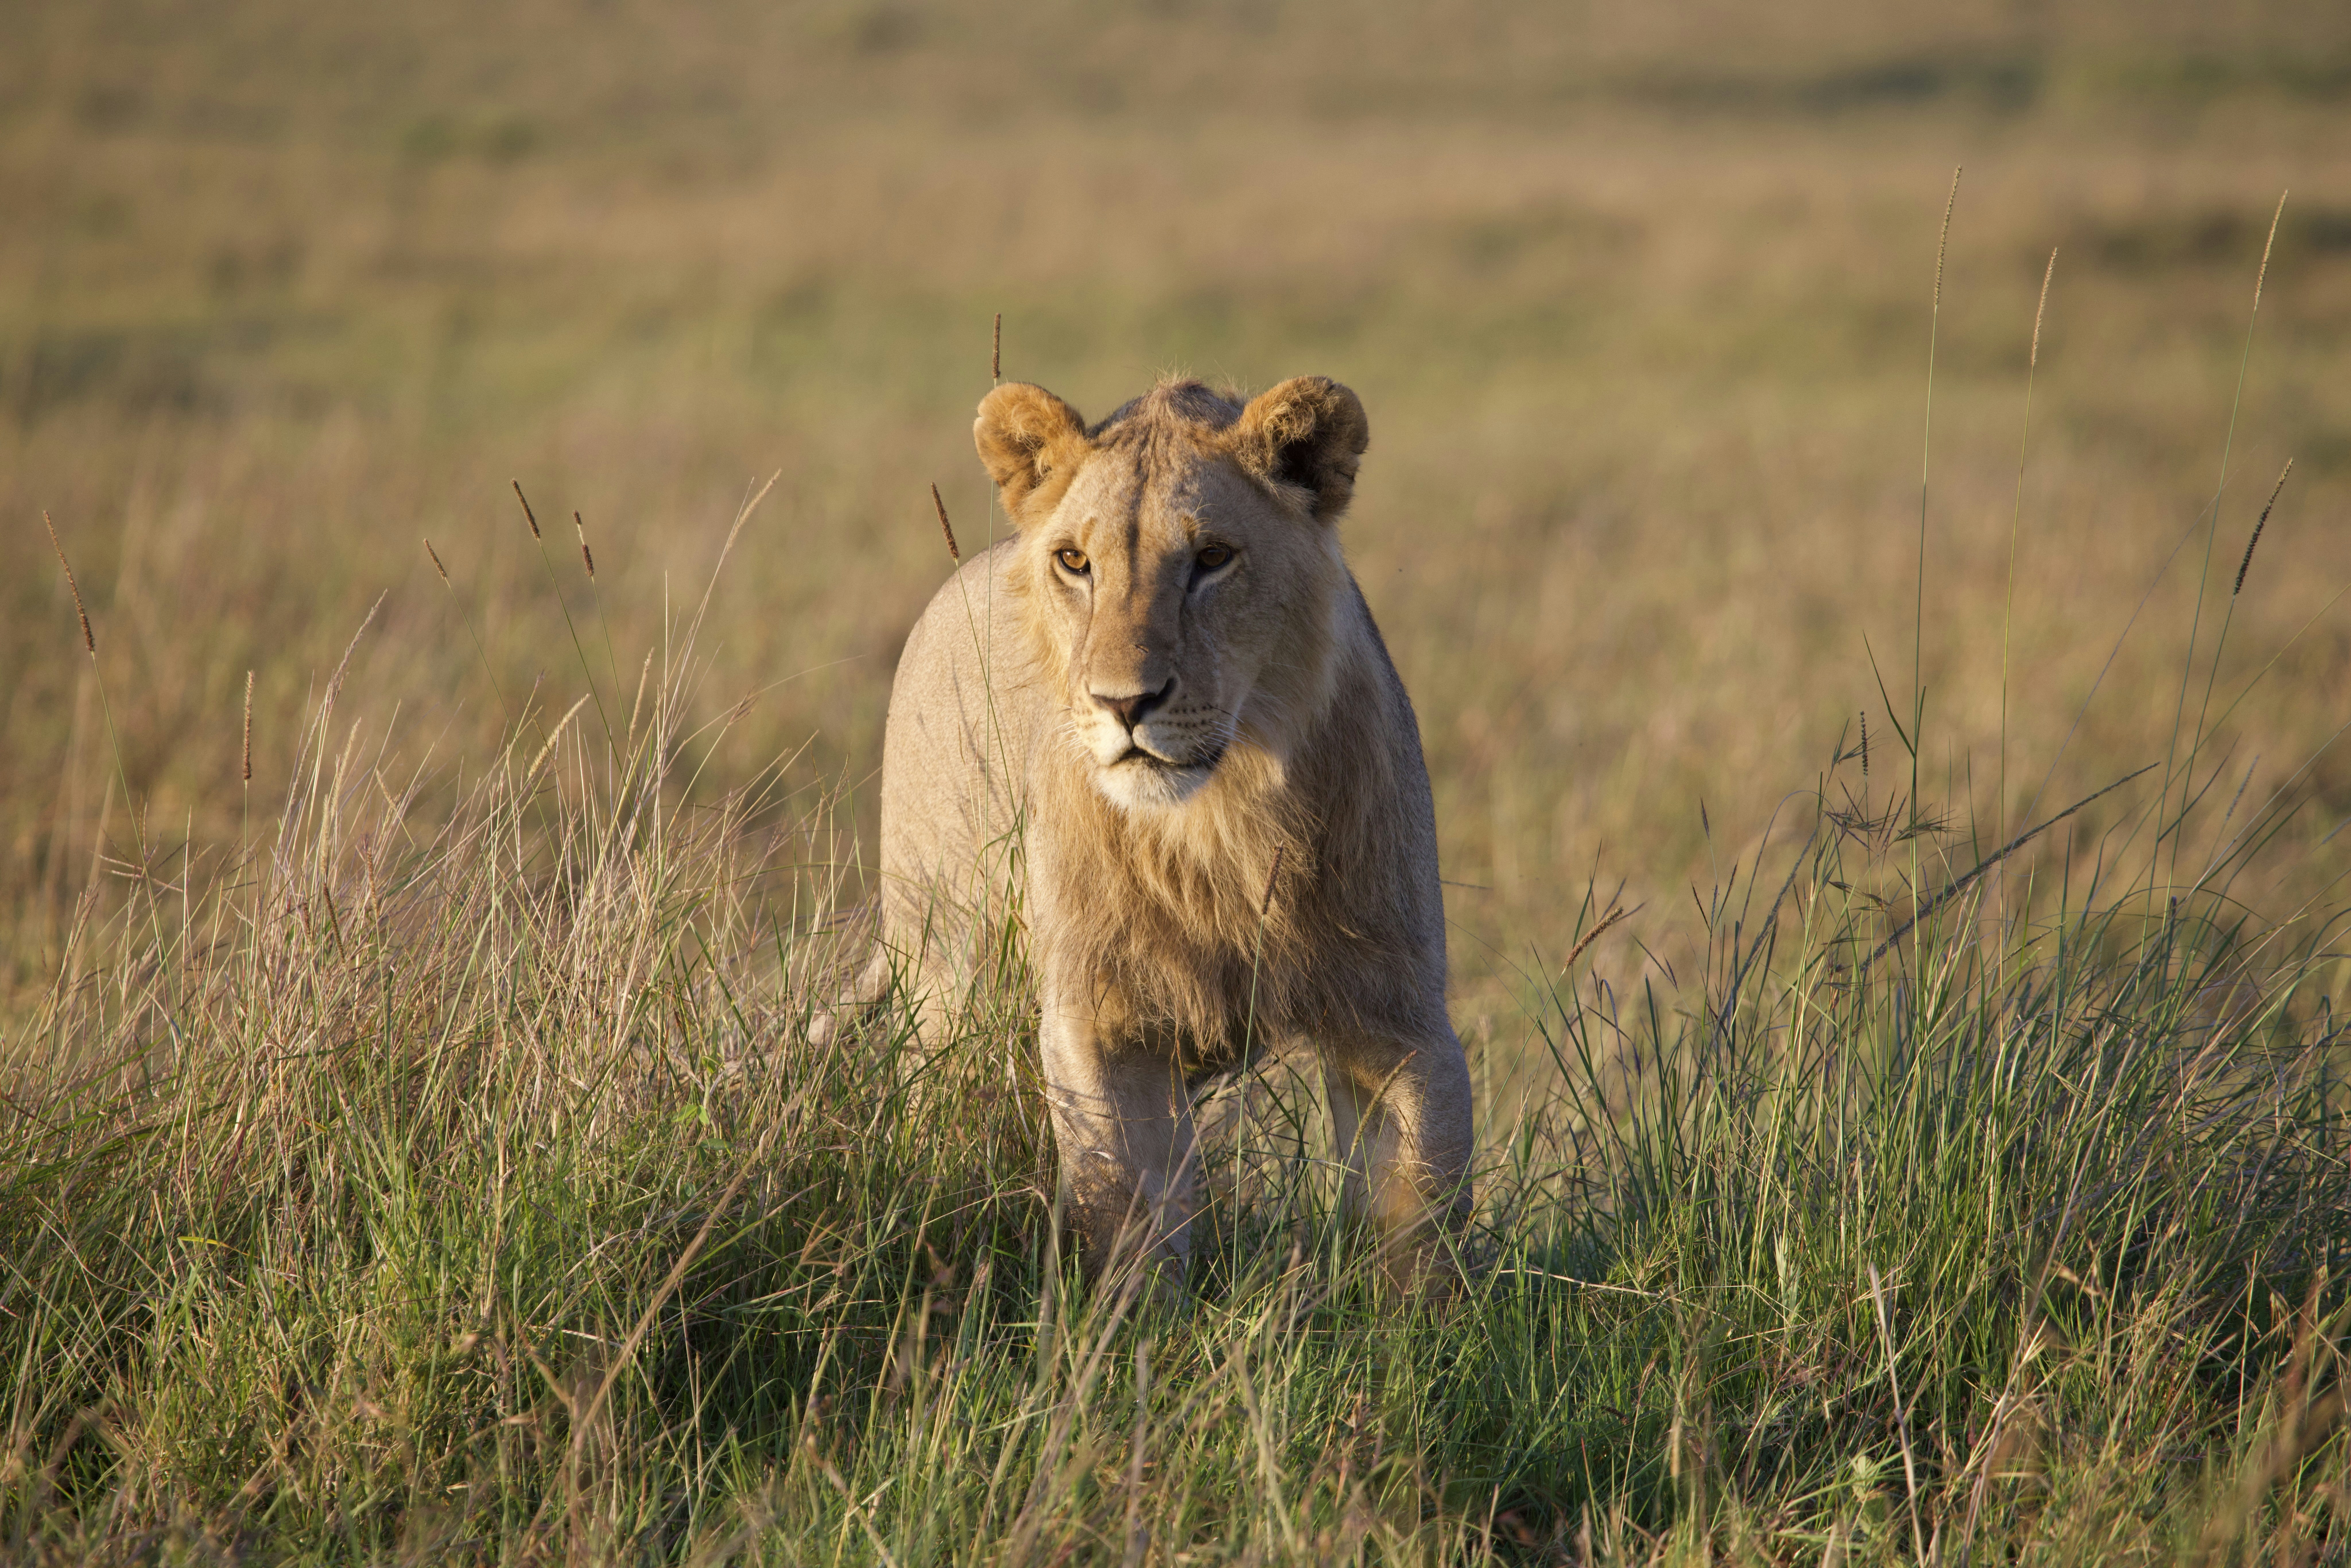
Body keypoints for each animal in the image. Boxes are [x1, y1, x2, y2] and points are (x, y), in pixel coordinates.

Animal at [838, 373, 1472, 1288]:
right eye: (1076, 562)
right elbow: (1121, 1206)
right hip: (947, 968)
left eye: (1211, 559)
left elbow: (1420, 1212)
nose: (1124, 703)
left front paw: (1421, 1322)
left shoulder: (1400, 1013)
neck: (1222, 823)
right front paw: (1127, 1322)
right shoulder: (1099, 1021)